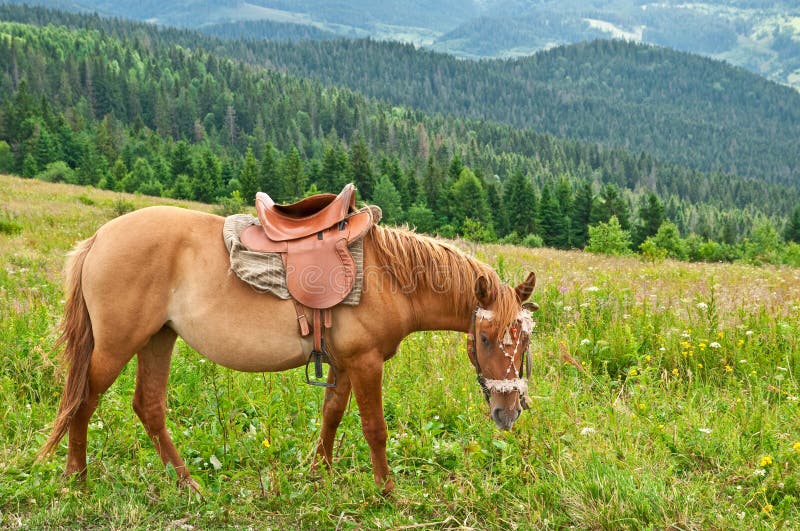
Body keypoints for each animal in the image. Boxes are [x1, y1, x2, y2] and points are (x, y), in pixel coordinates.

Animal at [37, 205, 538, 494]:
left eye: (525, 340)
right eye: (486, 338)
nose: (508, 412)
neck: (389, 277)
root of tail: (99, 237)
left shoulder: (343, 363)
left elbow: (332, 415)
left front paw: (319, 474)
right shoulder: (366, 363)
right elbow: (374, 428)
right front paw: (387, 491)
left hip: (158, 338)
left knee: (149, 406)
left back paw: (187, 483)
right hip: (116, 345)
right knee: (83, 400)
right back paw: (76, 478)